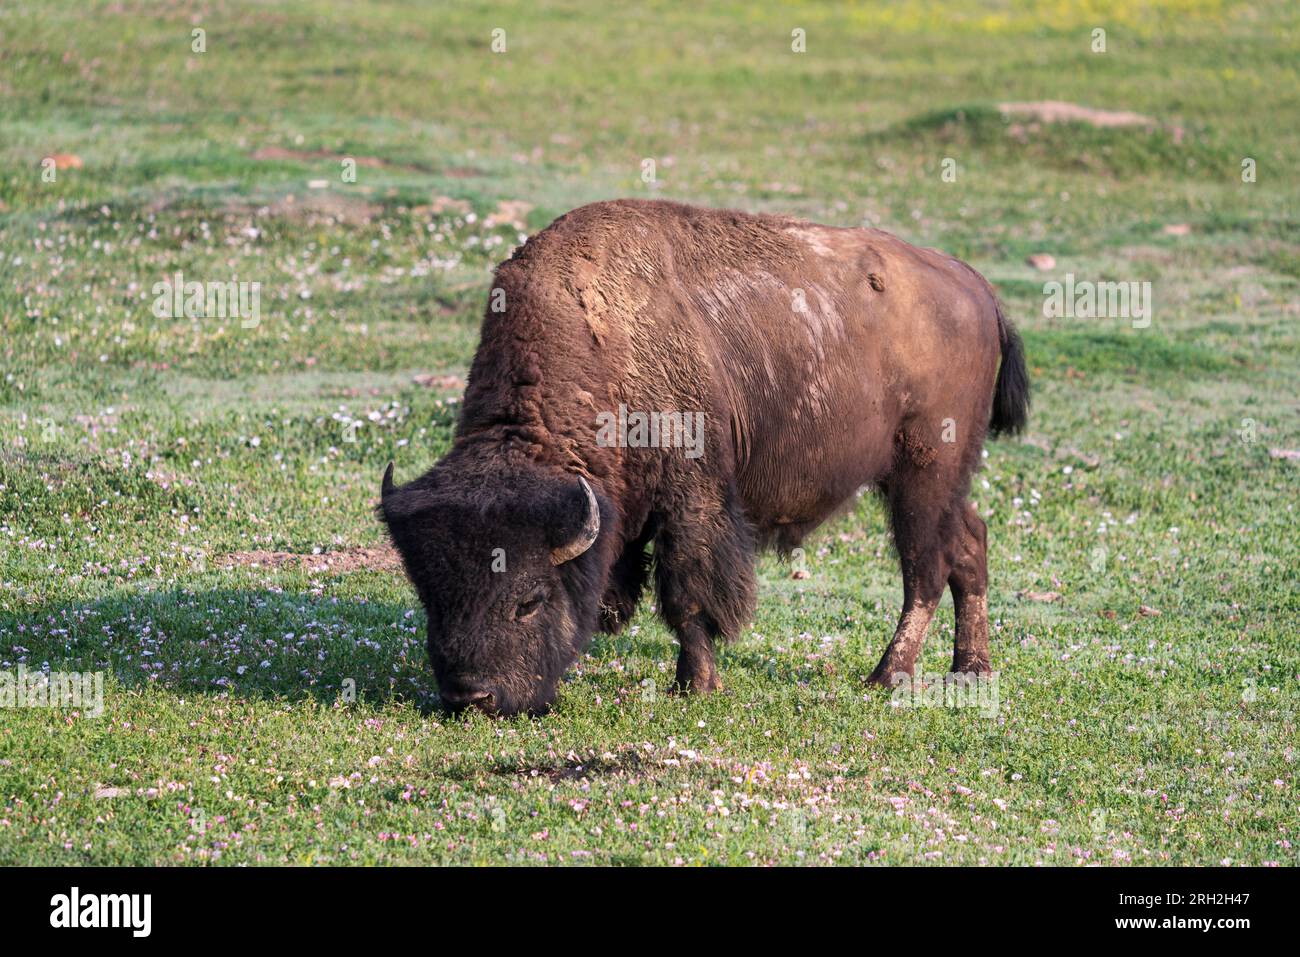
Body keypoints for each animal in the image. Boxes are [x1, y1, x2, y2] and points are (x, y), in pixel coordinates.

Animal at [380, 199, 1028, 715]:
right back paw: (970, 670)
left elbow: (687, 594)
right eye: (430, 595)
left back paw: (887, 676)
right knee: (970, 544)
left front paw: (696, 685)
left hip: (923, 471)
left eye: (528, 602)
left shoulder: (691, 498)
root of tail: (975, 286)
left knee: (926, 568)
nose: (471, 697)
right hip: (932, 480)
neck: (600, 345)